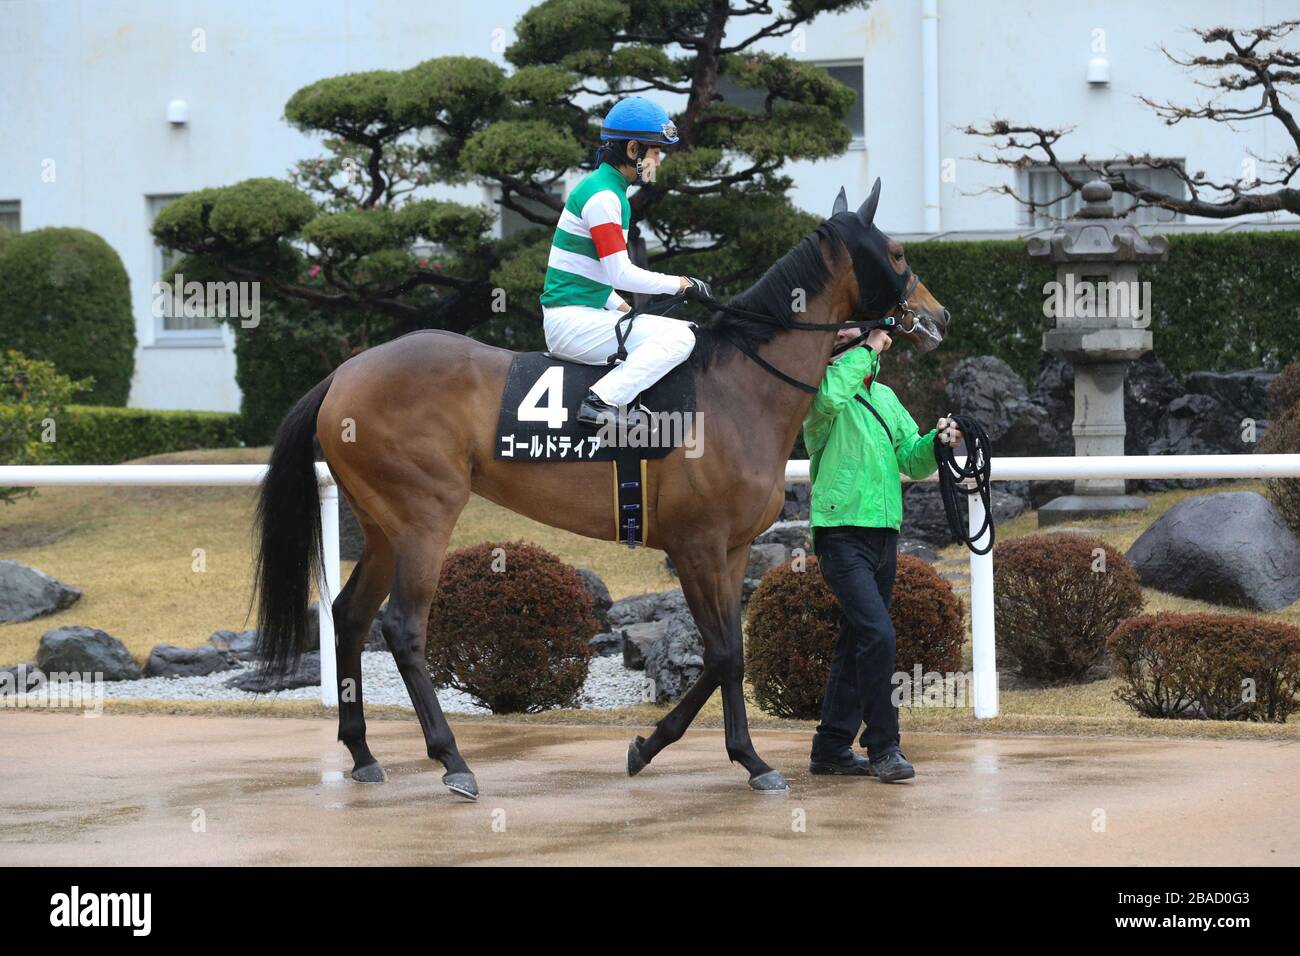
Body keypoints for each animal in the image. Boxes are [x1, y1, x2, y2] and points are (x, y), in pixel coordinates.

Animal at [252, 179, 950, 799]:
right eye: (897, 253)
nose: (937, 315)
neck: (737, 386)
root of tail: (343, 373)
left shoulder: (730, 550)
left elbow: (726, 653)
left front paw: (670, 748)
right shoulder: (695, 546)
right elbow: (724, 653)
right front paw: (736, 759)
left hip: (382, 526)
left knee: (350, 614)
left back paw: (363, 754)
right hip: (425, 517)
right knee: (401, 628)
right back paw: (453, 761)